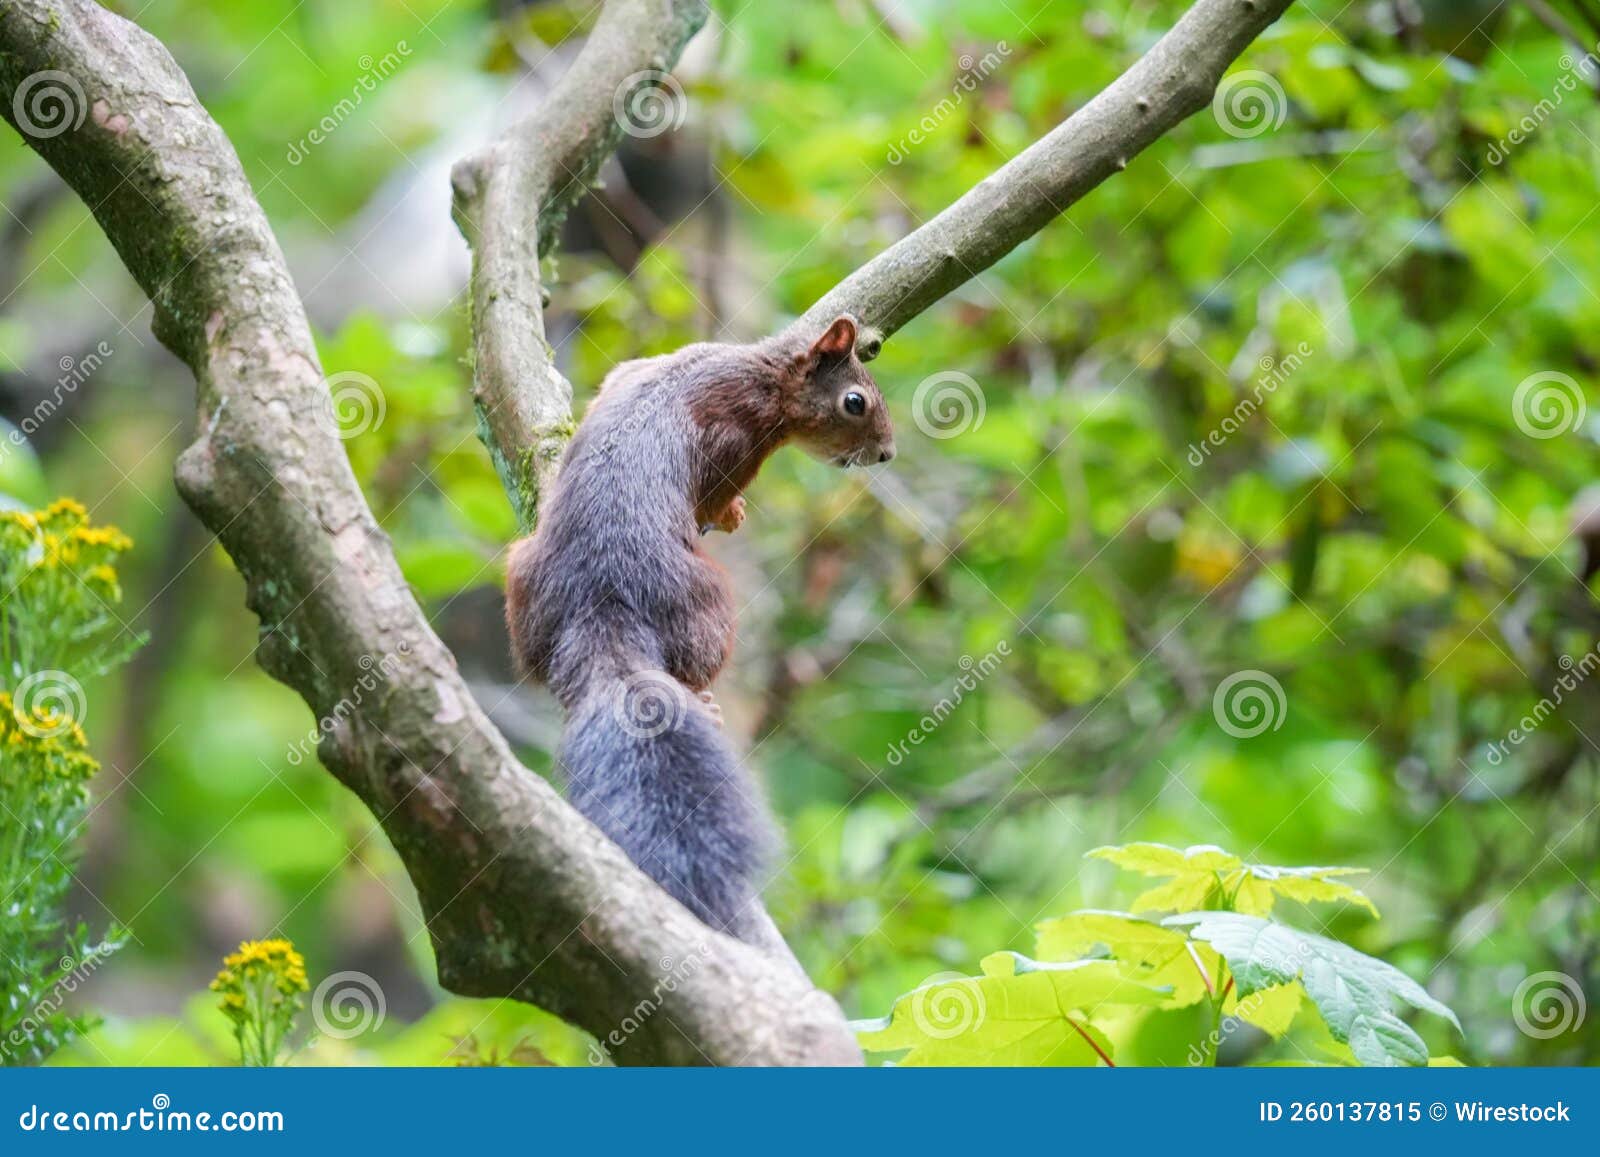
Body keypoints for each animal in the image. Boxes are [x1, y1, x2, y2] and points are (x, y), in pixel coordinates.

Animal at [505, 314, 895, 946]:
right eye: (854, 402)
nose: (886, 453)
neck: (762, 375)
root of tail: (600, 609)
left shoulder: (641, 367)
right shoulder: (733, 441)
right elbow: (713, 495)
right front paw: (729, 513)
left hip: (519, 575)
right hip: (711, 601)